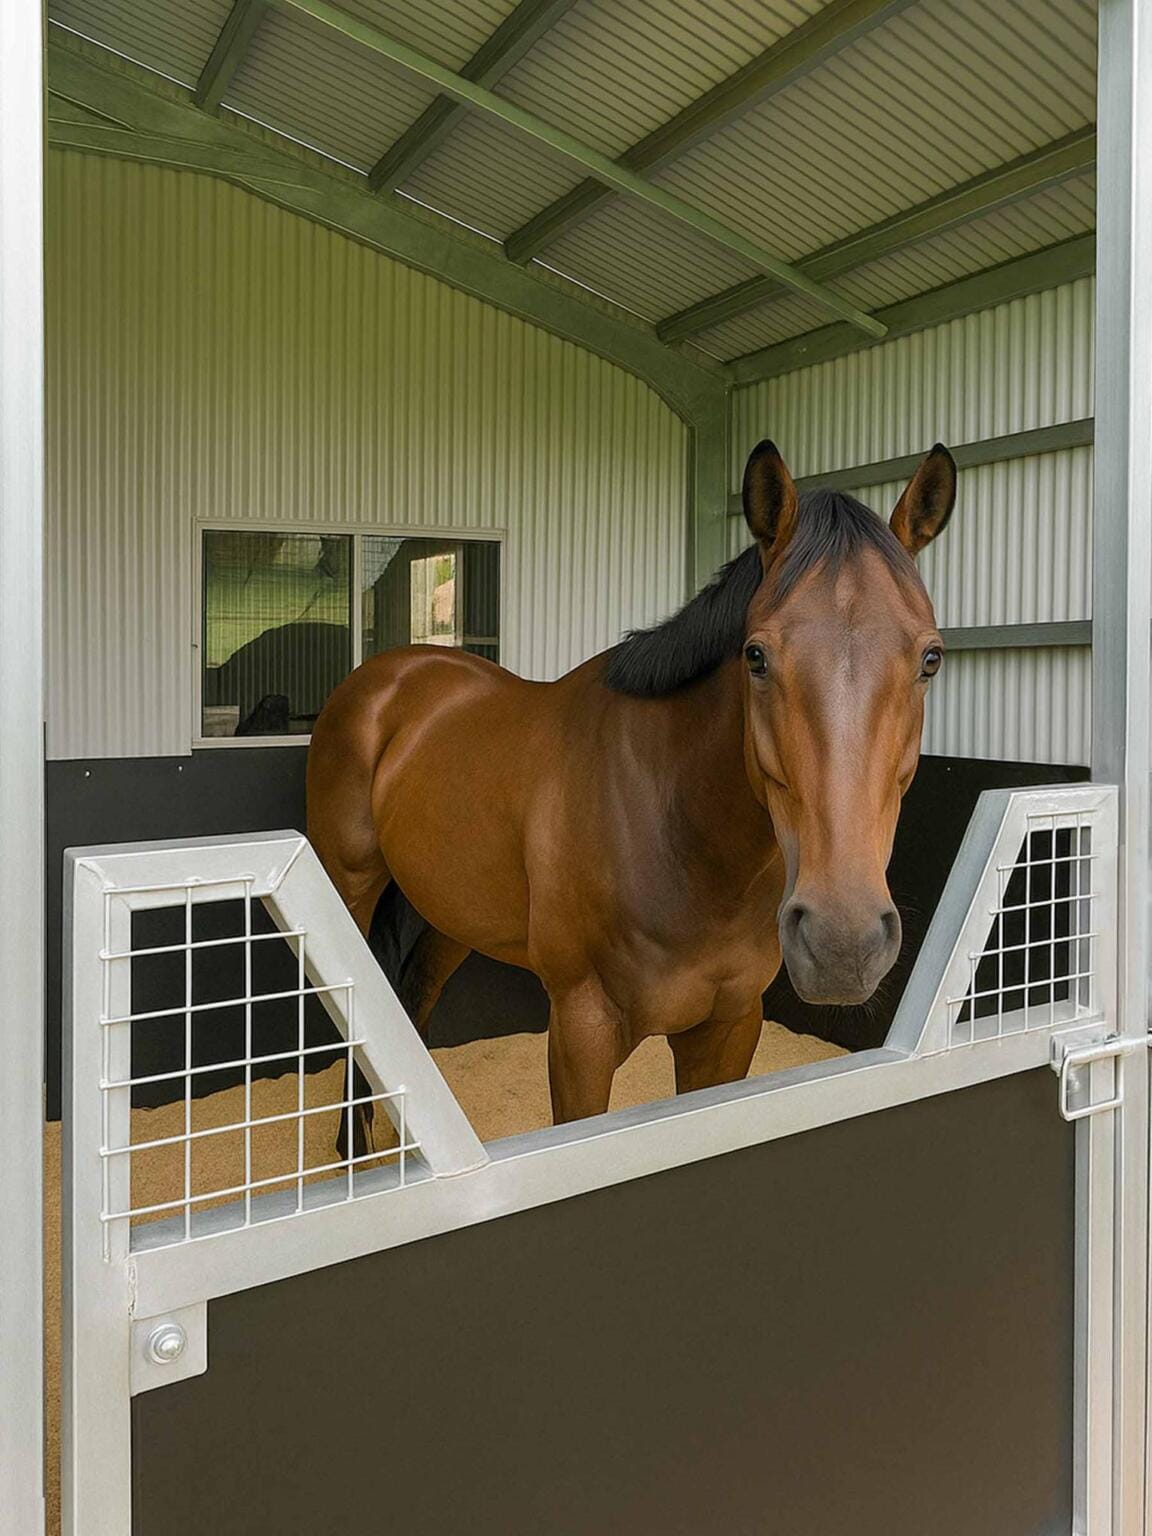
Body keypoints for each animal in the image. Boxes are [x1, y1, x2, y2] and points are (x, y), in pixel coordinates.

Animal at [307, 440, 956, 1147]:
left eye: (930, 658)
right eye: (756, 655)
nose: (845, 944)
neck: (675, 831)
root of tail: (385, 675)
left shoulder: (729, 1028)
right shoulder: (582, 1032)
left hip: (448, 912)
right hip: (349, 890)